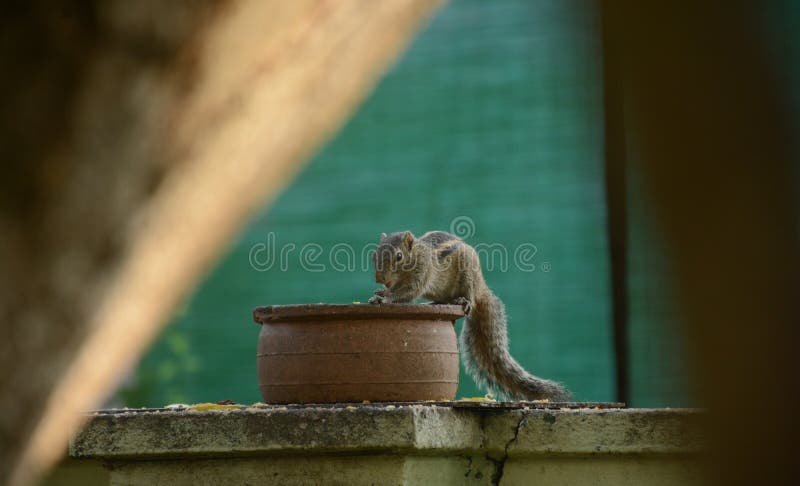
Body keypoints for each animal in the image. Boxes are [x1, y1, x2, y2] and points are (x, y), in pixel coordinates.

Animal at [368, 230, 571, 401]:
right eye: (373, 255)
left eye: (399, 256)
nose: (380, 279)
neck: (416, 254)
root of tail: (482, 287)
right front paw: (379, 293)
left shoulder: (422, 273)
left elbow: (407, 293)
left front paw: (384, 297)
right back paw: (434, 304)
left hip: (468, 276)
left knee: (469, 296)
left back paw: (463, 301)